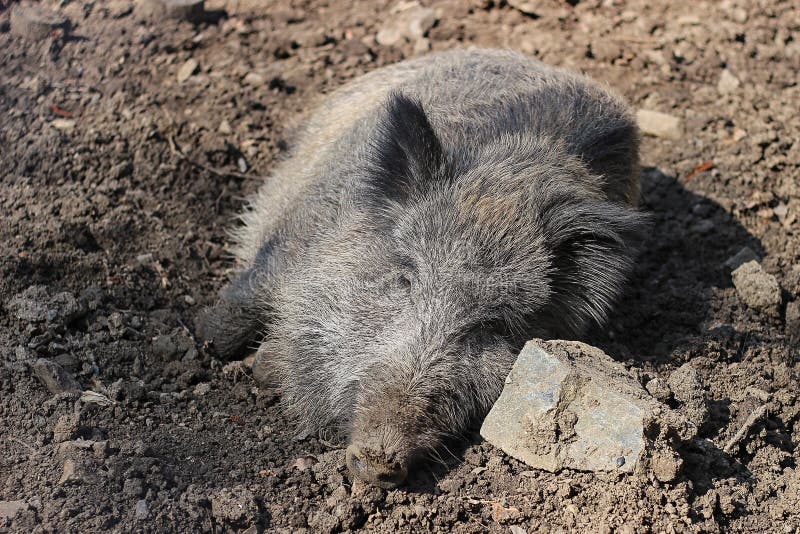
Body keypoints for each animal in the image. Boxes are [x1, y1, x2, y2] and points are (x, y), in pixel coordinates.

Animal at [197, 49, 647, 488]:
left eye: (494, 327)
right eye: (405, 278)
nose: (376, 461)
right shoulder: (292, 230)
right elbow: (243, 302)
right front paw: (223, 346)